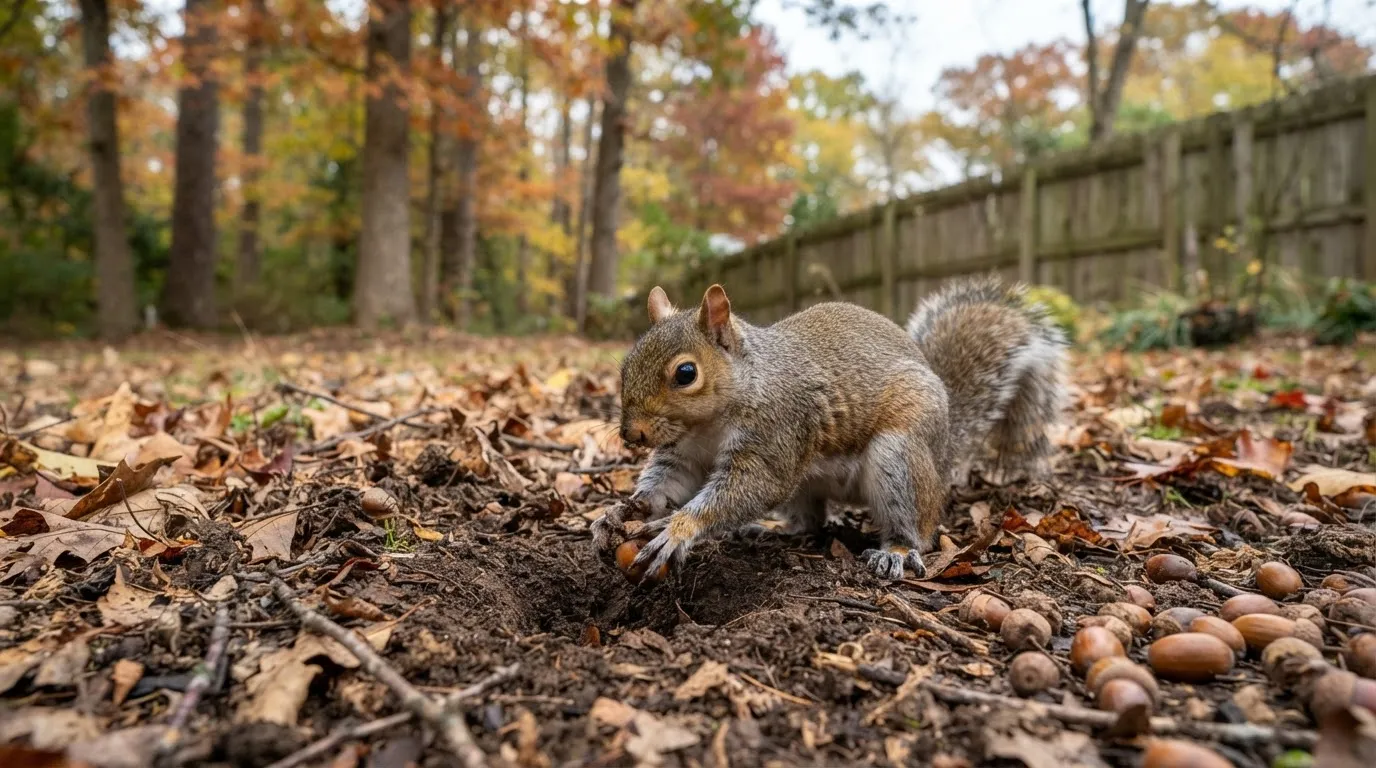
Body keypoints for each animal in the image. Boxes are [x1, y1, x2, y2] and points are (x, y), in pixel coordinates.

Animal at [590, 275, 1068, 581]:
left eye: (686, 373)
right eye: (627, 363)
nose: (632, 434)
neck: (708, 423)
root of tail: (945, 447)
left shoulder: (776, 433)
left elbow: (751, 486)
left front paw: (678, 529)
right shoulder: (683, 454)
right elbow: (667, 484)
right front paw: (624, 510)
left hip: (899, 457)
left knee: (919, 529)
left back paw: (895, 552)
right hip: (806, 487)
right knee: (811, 523)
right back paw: (771, 531)